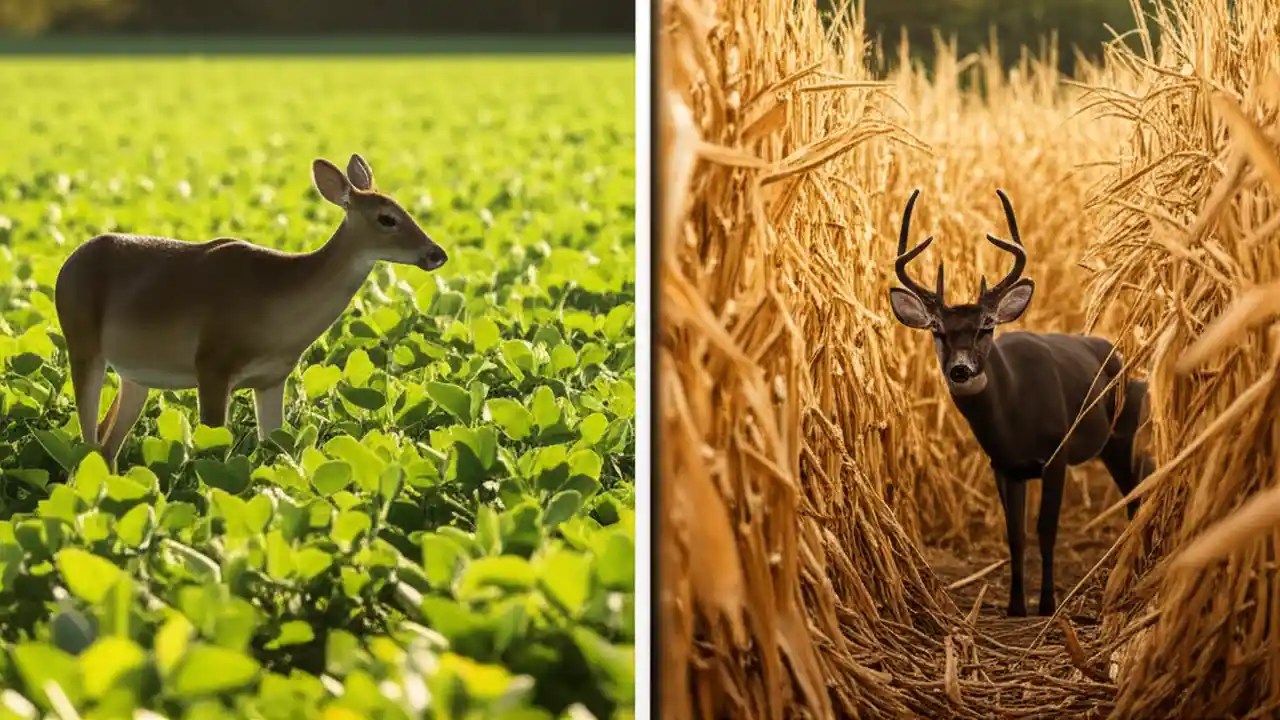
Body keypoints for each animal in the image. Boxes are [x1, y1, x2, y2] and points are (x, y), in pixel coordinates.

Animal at [54, 153, 447, 469]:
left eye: (405, 208)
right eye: (387, 218)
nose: (436, 253)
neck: (274, 304)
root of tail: (68, 263)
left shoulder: (273, 379)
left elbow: (276, 448)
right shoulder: (212, 363)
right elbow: (214, 449)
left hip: (135, 375)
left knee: (106, 444)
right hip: (82, 342)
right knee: (87, 438)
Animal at [887, 188, 1153, 617]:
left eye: (986, 326)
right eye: (938, 331)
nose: (960, 369)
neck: (1014, 420)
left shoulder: (1056, 455)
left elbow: (1046, 530)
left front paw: (1046, 604)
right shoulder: (1004, 465)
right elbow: (1015, 534)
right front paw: (1015, 606)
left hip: (1123, 435)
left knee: (1140, 484)